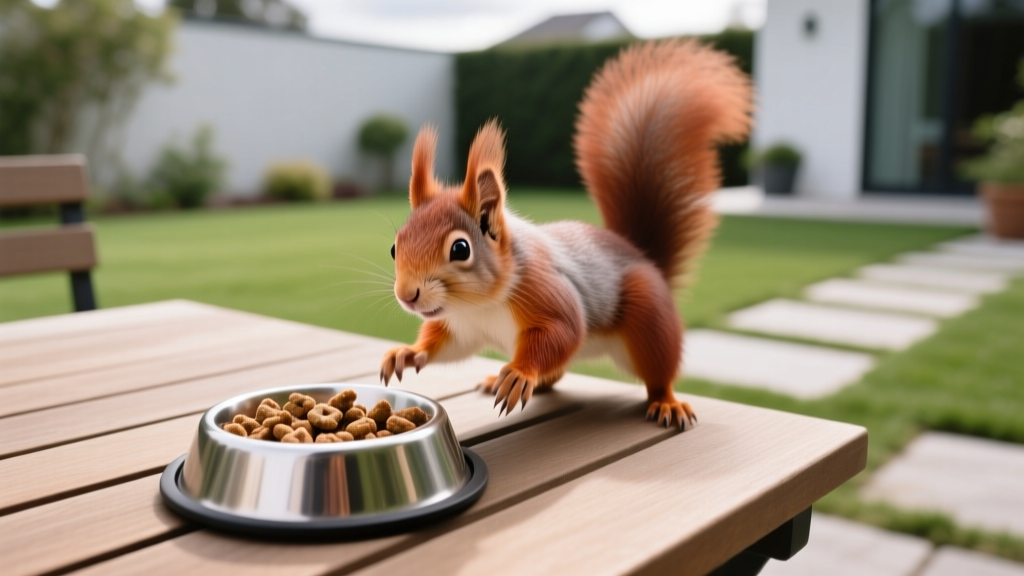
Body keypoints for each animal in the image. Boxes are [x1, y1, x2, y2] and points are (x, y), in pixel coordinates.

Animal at [379, 39, 752, 429]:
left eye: (461, 249)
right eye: (394, 248)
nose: (407, 295)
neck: (479, 305)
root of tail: (644, 257)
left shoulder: (543, 289)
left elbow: (563, 331)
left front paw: (520, 372)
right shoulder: (460, 326)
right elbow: (445, 344)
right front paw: (408, 352)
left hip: (650, 322)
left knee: (657, 373)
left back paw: (667, 402)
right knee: (557, 372)